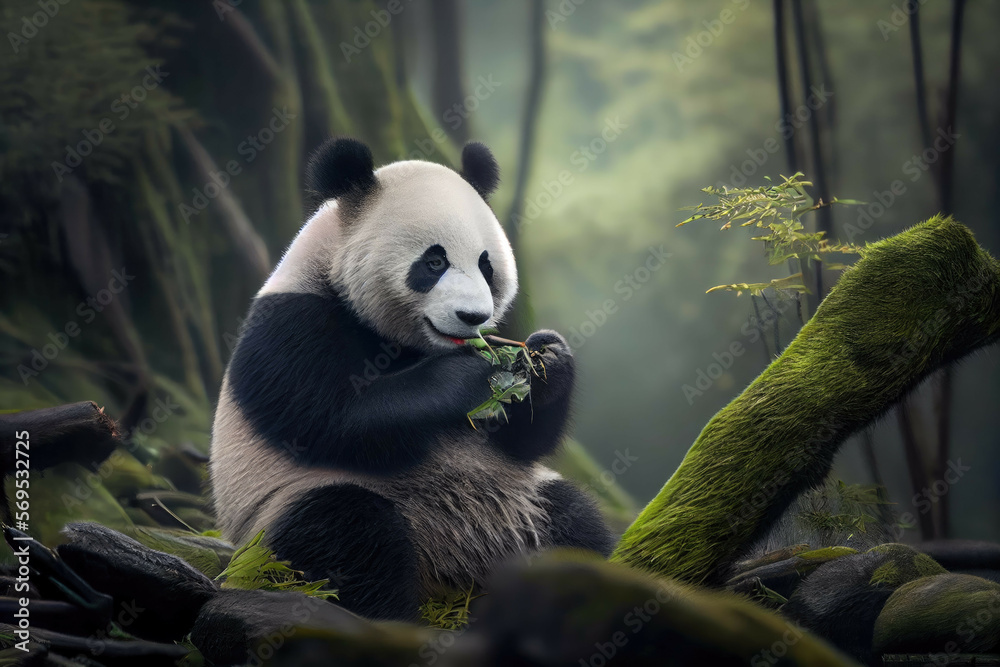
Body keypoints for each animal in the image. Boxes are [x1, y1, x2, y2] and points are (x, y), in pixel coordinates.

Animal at [210, 138, 614, 621]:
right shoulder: (290, 322)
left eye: (487, 266)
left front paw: (547, 359)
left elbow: (522, 441)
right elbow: (328, 421)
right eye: (434, 262)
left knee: (575, 522)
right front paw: (466, 375)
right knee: (348, 535)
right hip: (276, 519)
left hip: (521, 500)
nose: (473, 317)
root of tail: (451, 581)